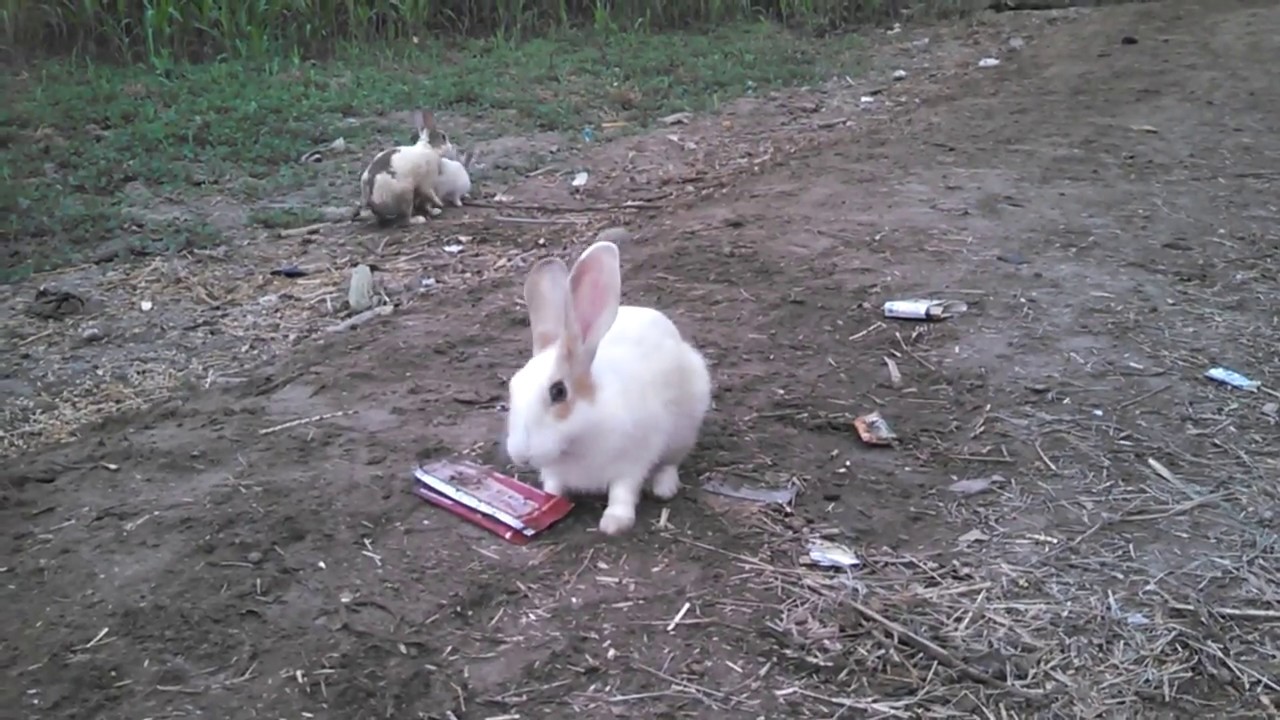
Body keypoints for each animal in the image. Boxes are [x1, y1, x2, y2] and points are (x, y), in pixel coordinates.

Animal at [504, 238, 713, 536]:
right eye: (513, 386)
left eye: (558, 392)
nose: (520, 455)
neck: (578, 437)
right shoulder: (555, 471)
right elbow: (554, 486)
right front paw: (547, 503)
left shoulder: (632, 461)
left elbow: (622, 492)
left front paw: (614, 523)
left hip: (684, 428)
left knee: (671, 462)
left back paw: (664, 488)